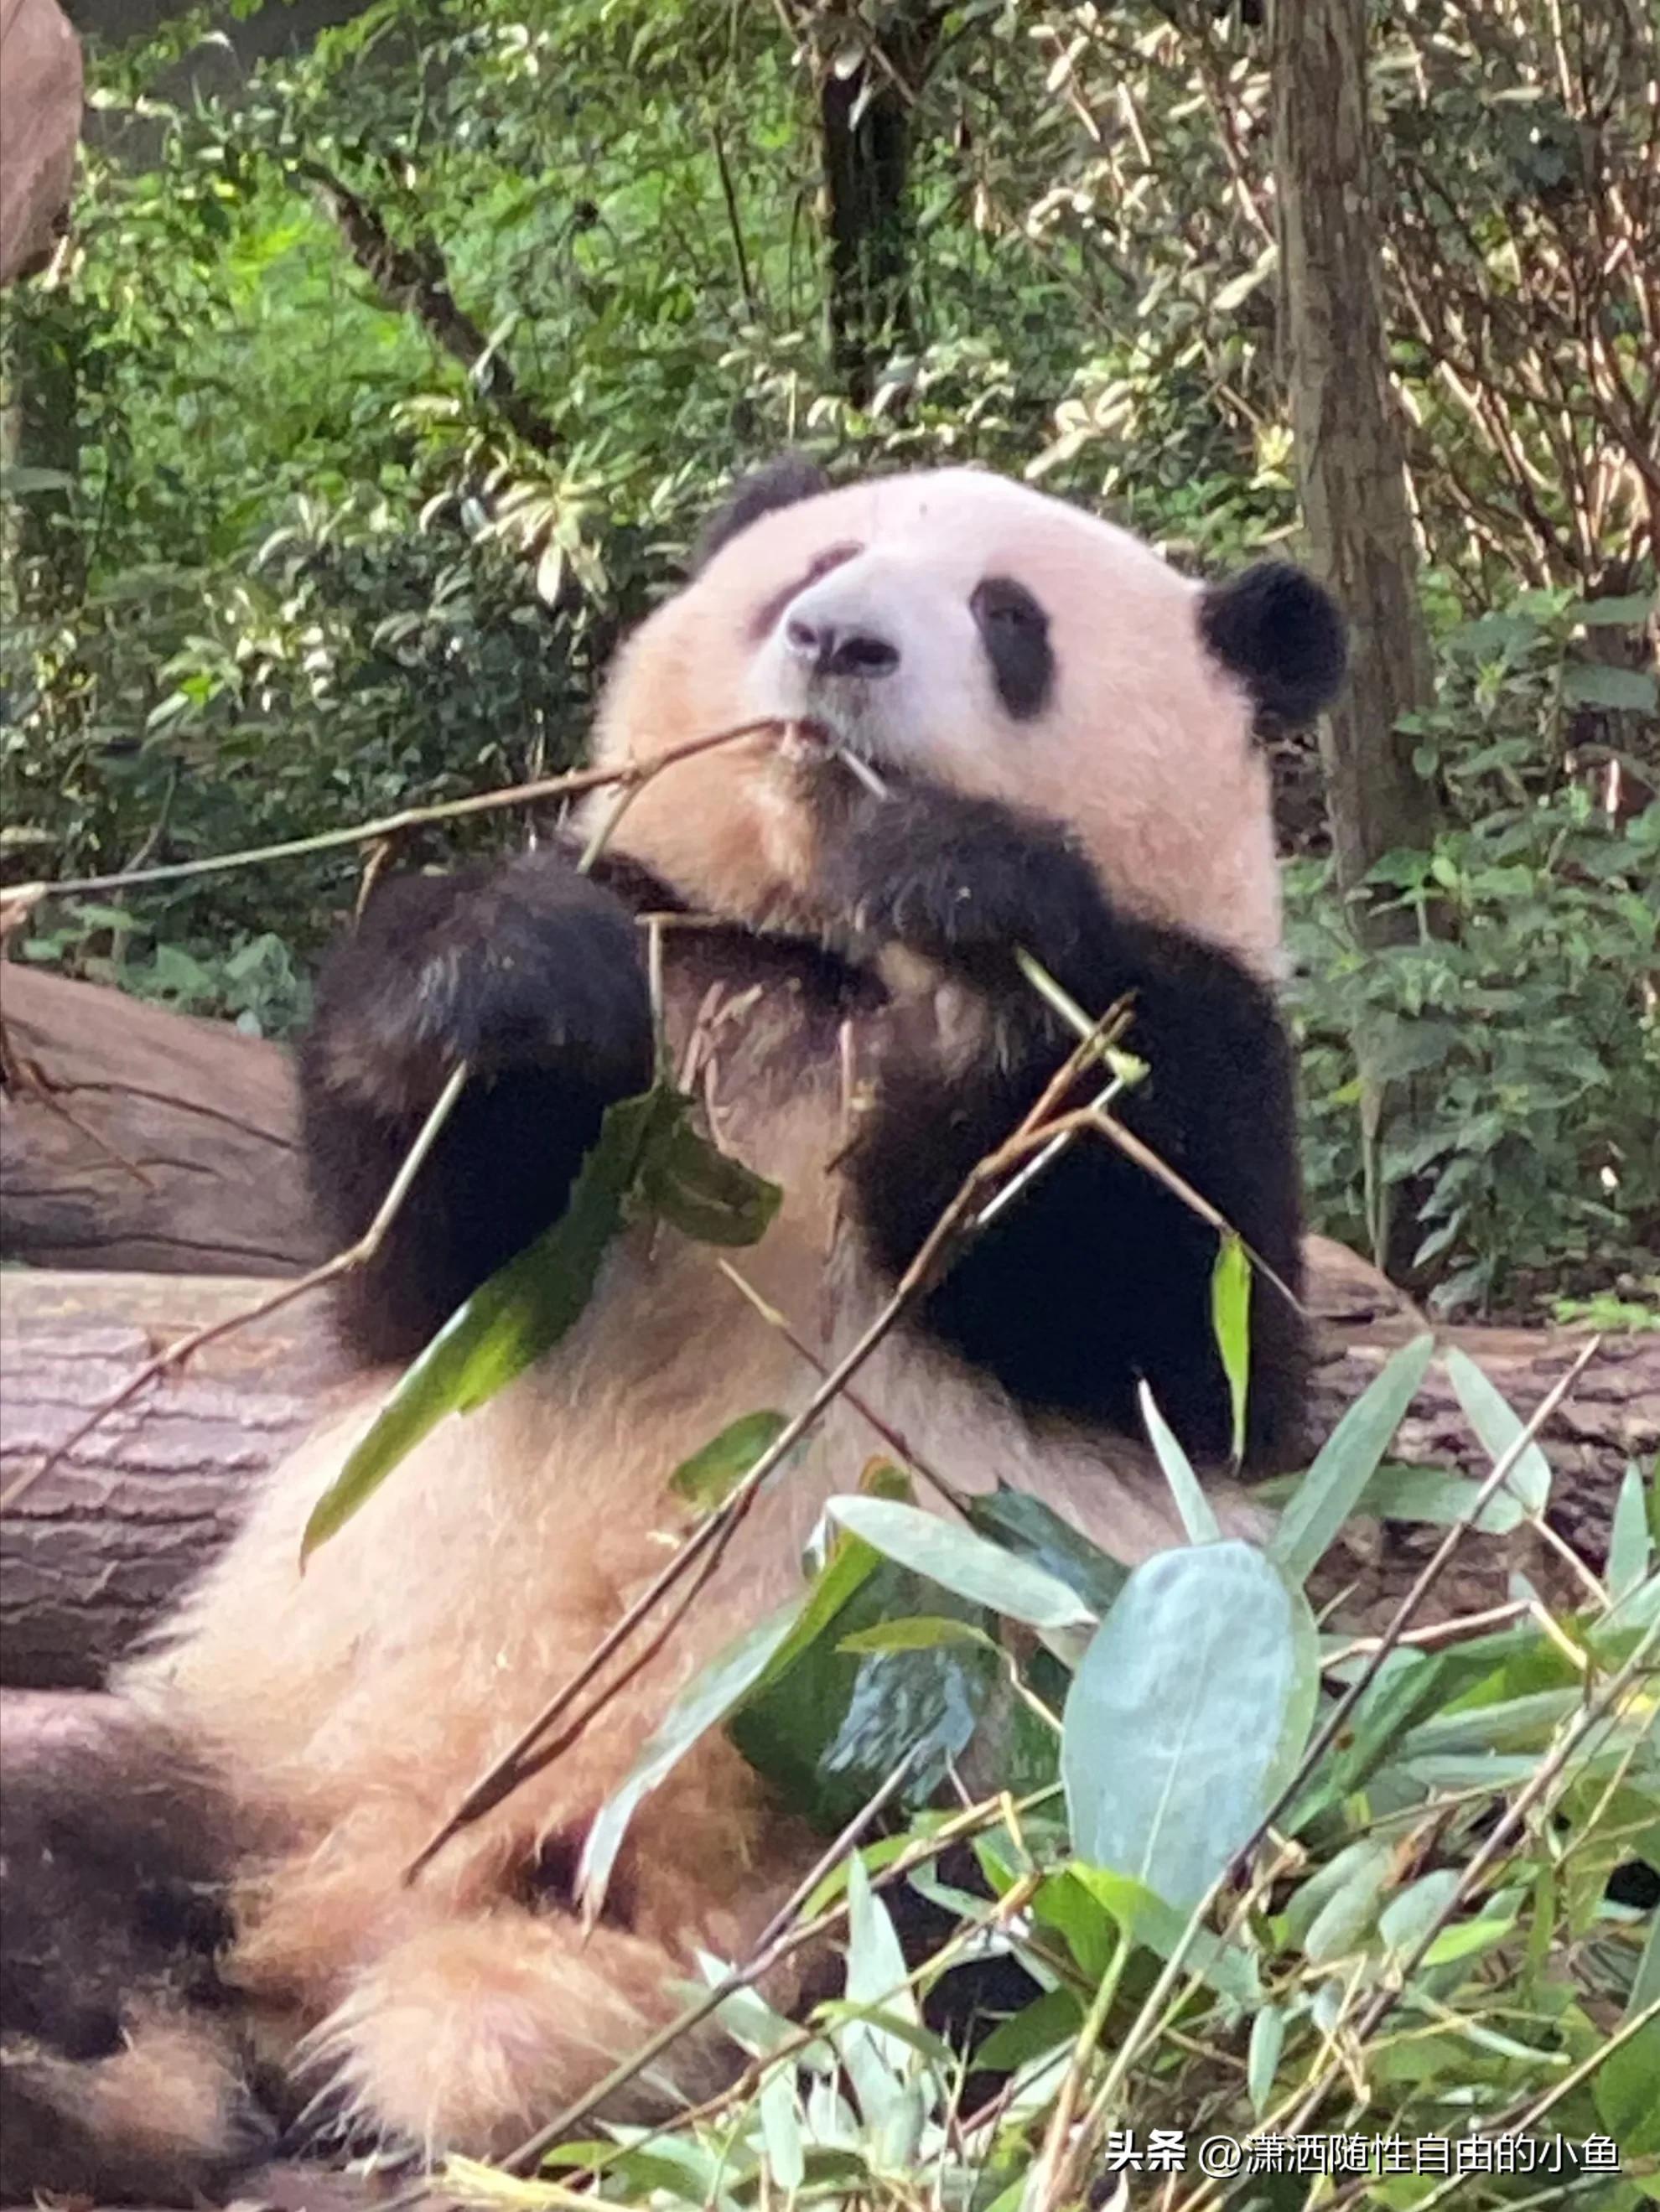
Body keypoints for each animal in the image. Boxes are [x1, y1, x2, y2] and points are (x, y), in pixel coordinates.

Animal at [0, 457, 1344, 2196]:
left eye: (1010, 621)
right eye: (814, 564)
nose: (838, 641)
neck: (815, 963)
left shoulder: (1221, 1056)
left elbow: (1164, 1305)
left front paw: (968, 898)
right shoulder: (662, 965)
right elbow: (414, 1257)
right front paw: (494, 970)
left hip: (1020, 1781)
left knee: (1026, 1933)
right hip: (266, 1753)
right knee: (67, 1847)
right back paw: (95, 2086)